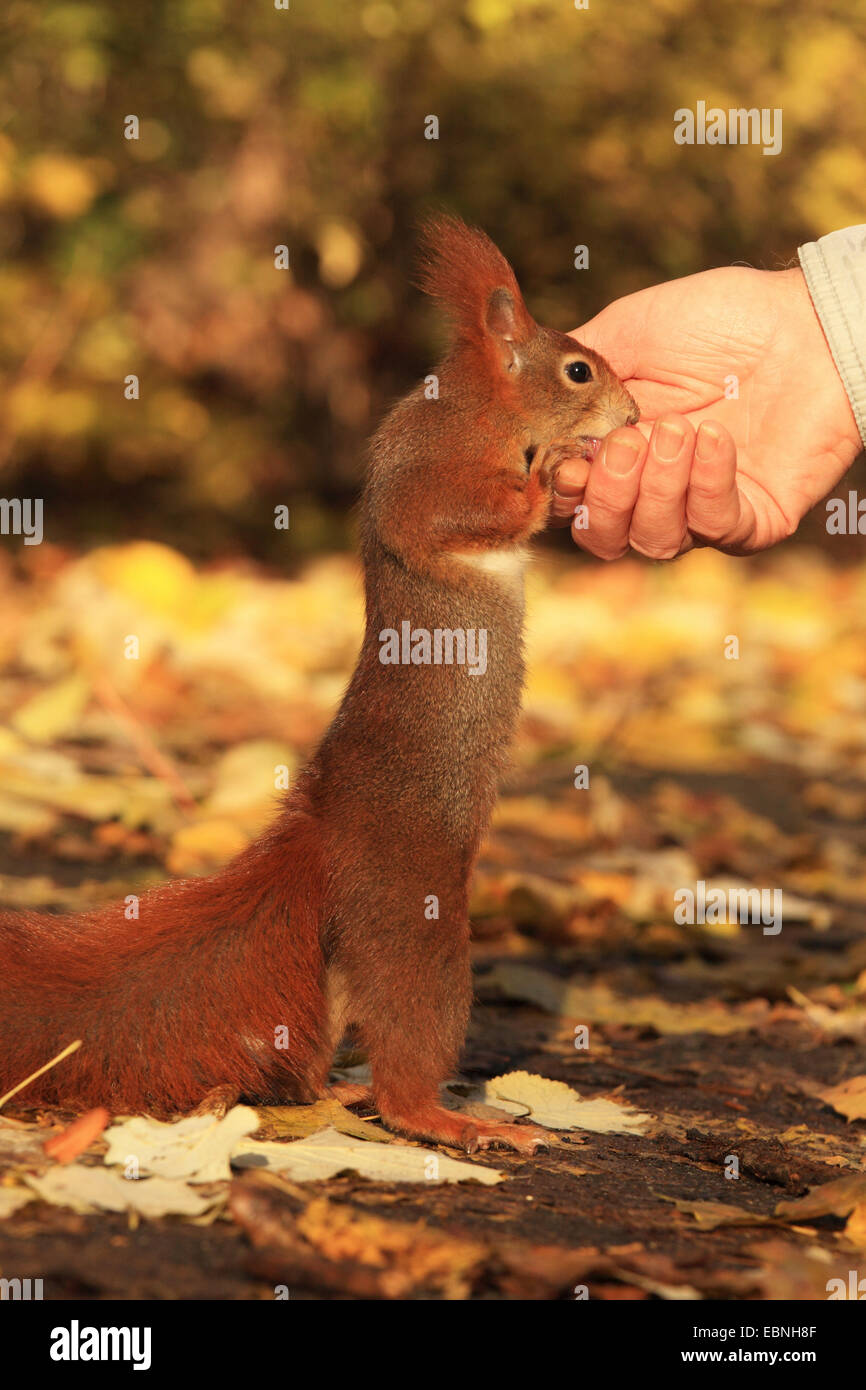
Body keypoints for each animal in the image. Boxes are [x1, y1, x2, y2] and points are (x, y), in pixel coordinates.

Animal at [0, 216, 638, 1153]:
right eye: (579, 370)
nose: (634, 413)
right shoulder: (434, 473)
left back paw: (336, 1093)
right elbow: (451, 515)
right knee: (406, 1065)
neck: (485, 406)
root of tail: (321, 848)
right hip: (418, 926)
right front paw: (556, 470)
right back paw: (458, 1120)